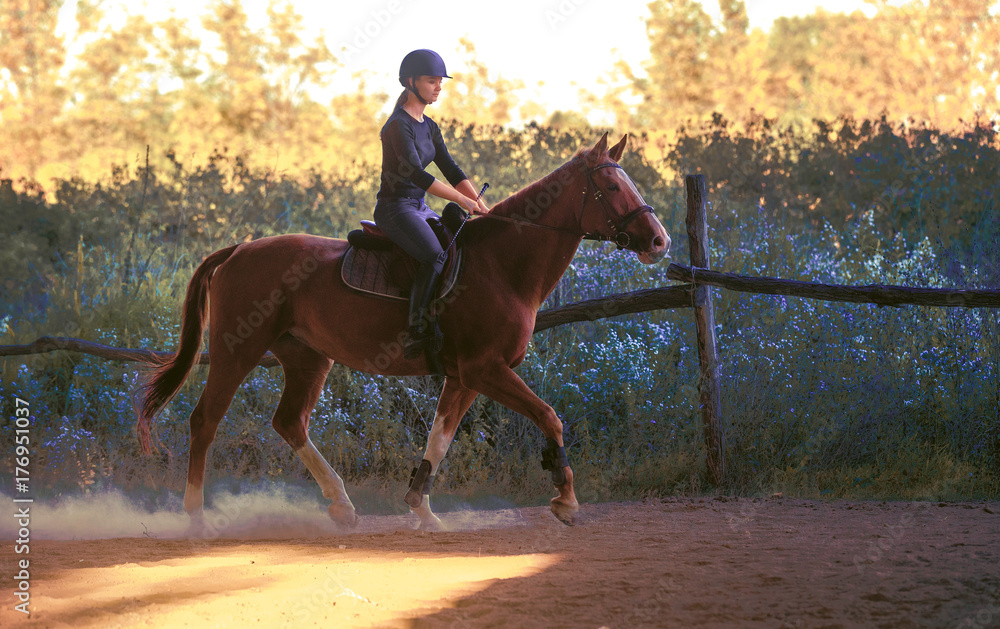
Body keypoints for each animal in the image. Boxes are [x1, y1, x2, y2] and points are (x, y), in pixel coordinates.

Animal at [137, 132, 670, 530]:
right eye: (612, 188)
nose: (659, 242)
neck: (501, 264)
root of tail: (238, 250)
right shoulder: (485, 369)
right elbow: (550, 417)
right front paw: (565, 500)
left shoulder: (465, 376)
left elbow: (439, 438)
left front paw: (422, 509)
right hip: (237, 352)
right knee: (205, 421)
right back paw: (196, 518)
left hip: (307, 358)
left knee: (289, 422)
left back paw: (341, 506)